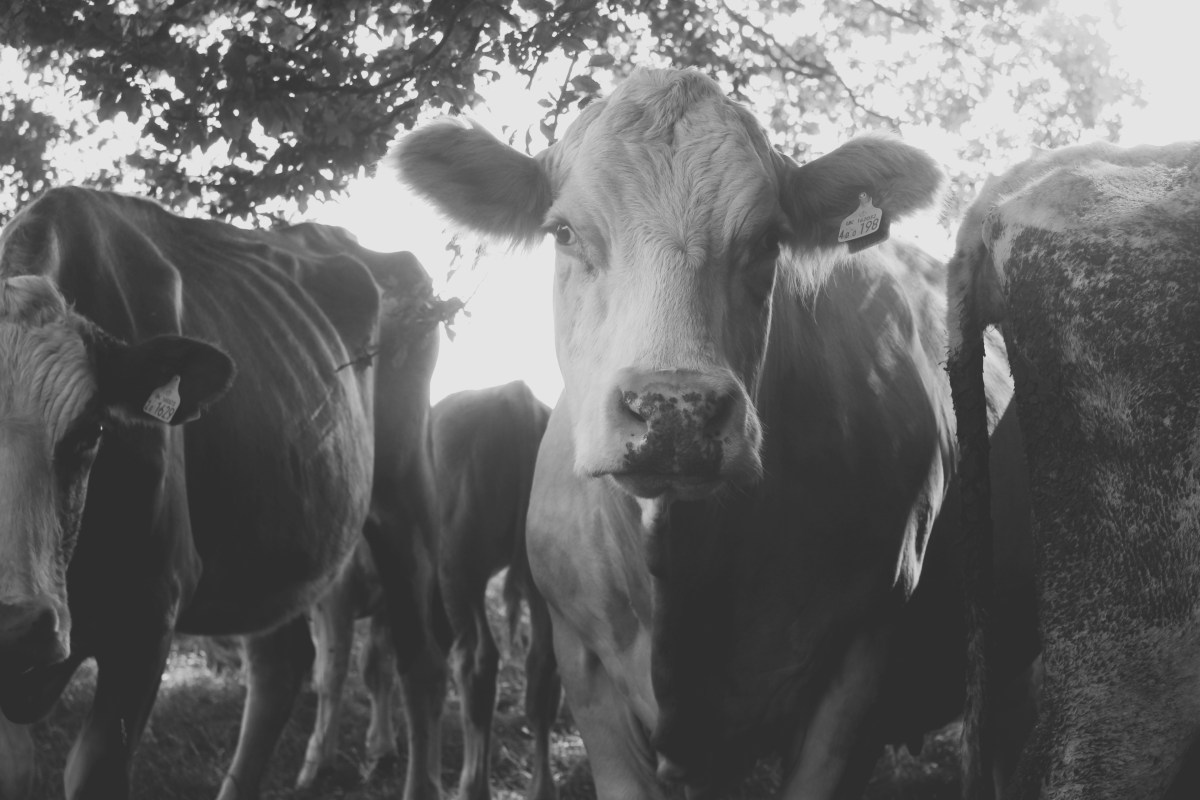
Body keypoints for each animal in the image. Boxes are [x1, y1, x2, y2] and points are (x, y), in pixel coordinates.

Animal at [0, 187, 444, 800]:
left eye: (92, 431)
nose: (17, 628)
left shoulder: (150, 608)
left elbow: (92, 769)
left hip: (405, 496)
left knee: (420, 659)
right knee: (282, 665)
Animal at [299, 379, 560, 800]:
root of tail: (510, 393)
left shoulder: (336, 594)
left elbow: (333, 672)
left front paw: (317, 762)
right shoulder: (391, 601)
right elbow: (377, 665)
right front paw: (381, 746)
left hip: (458, 570)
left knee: (476, 663)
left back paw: (473, 786)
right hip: (537, 578)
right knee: (542, 668)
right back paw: (541, 788)